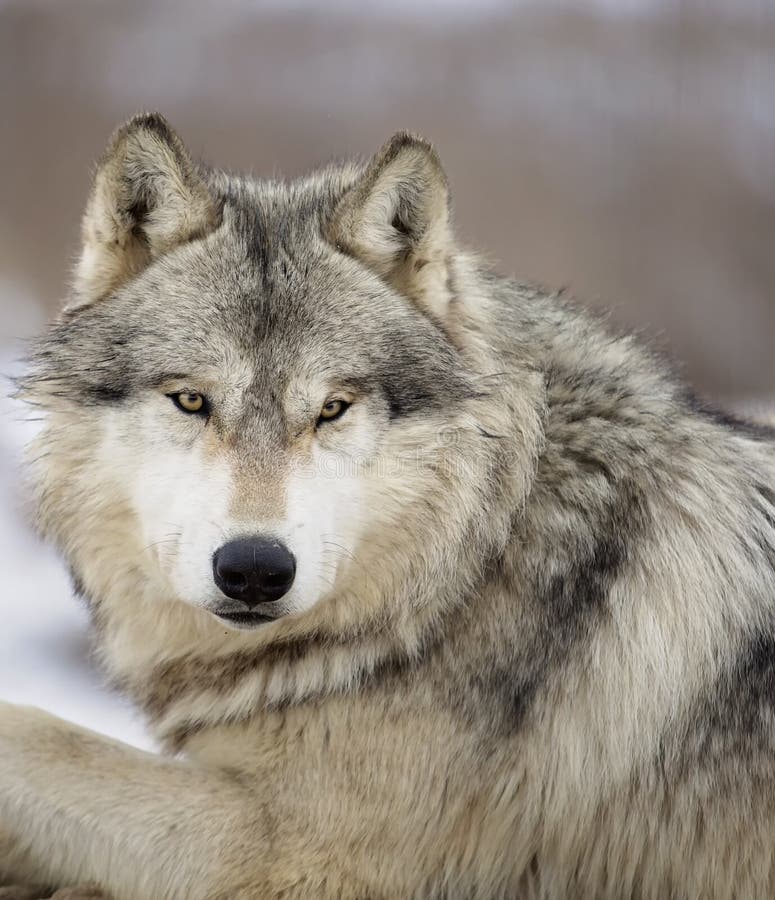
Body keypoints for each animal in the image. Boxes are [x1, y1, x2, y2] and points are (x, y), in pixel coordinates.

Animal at [2, 112, 775, 900]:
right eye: (191, 400)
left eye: (332, 409)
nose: (254, 570)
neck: (471, 573)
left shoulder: (287, 853)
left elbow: (30, 730)